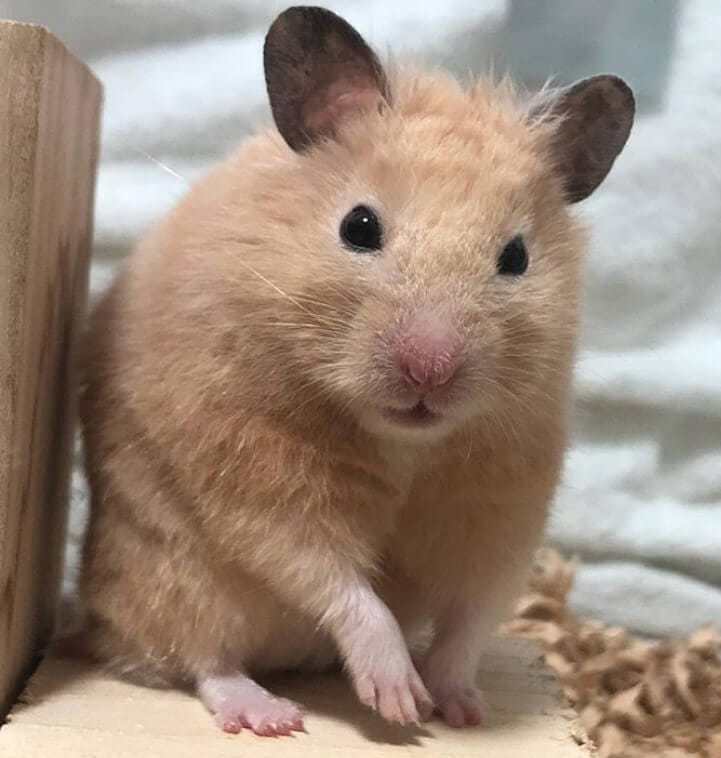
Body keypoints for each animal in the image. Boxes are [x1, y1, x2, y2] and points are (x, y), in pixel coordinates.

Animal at [78, 5, 634, 737]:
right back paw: (271, 715)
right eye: (359, 226)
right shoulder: (259, 479)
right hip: (171, 577)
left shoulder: (501, 505)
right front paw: (399, 701)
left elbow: (472, 615)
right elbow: (337, 583)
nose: (430, 372)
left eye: (515, 256)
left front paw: (457, 706)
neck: (405, 442)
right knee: (200, 659)